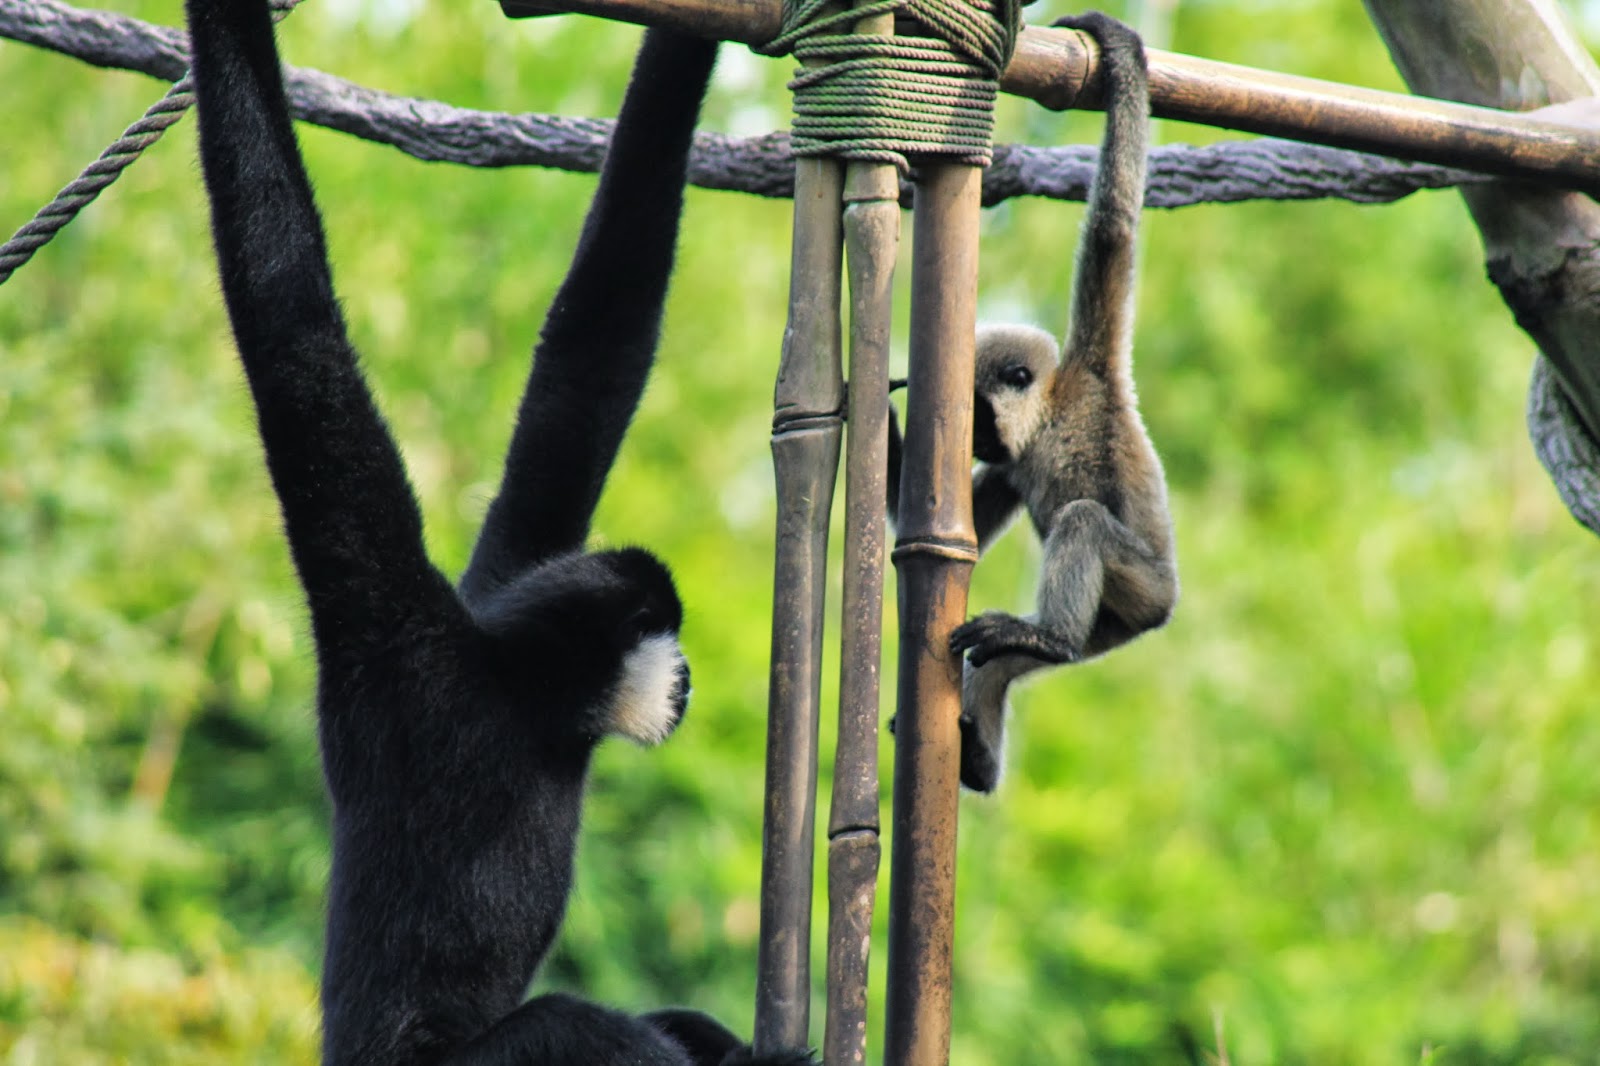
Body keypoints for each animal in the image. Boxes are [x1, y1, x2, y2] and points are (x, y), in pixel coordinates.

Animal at [185, 2, 813, 1063]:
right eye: (667, 636)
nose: (686, 677)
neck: (532, 702)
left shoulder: (499, 577)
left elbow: (586, 365)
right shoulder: (401, 653)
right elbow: (295, 332)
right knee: (570, 1024)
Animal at [888, 12, 1176, 794]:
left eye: (979, 419)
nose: (977, 441)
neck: (1050, 420)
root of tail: (1159, 613)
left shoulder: (1093, 369)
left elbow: (1113, 227)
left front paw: (1117, 48)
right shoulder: (1014, 464)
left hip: (1140, 588)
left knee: (1081, 523)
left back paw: (1045, 636)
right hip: (1112, 628)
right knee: (1006, 664)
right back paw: (979, 757)